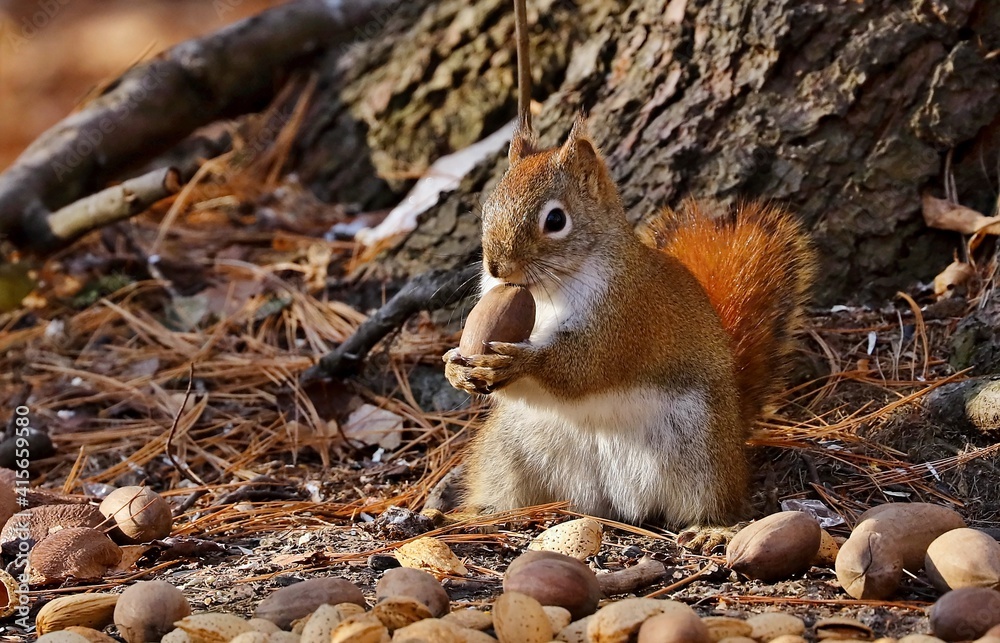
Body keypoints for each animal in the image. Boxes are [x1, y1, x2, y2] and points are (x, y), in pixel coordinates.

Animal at [443, 117, 816, 529]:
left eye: (555, 220)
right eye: (487, 209)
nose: (497, 267)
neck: (546, 292)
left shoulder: (626, 317)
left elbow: (583, 368)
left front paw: (518, 361)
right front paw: (453, 366)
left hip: (702, 451)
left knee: (715, 501)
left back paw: (709, 529)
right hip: (507, 450)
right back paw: (478, 513)